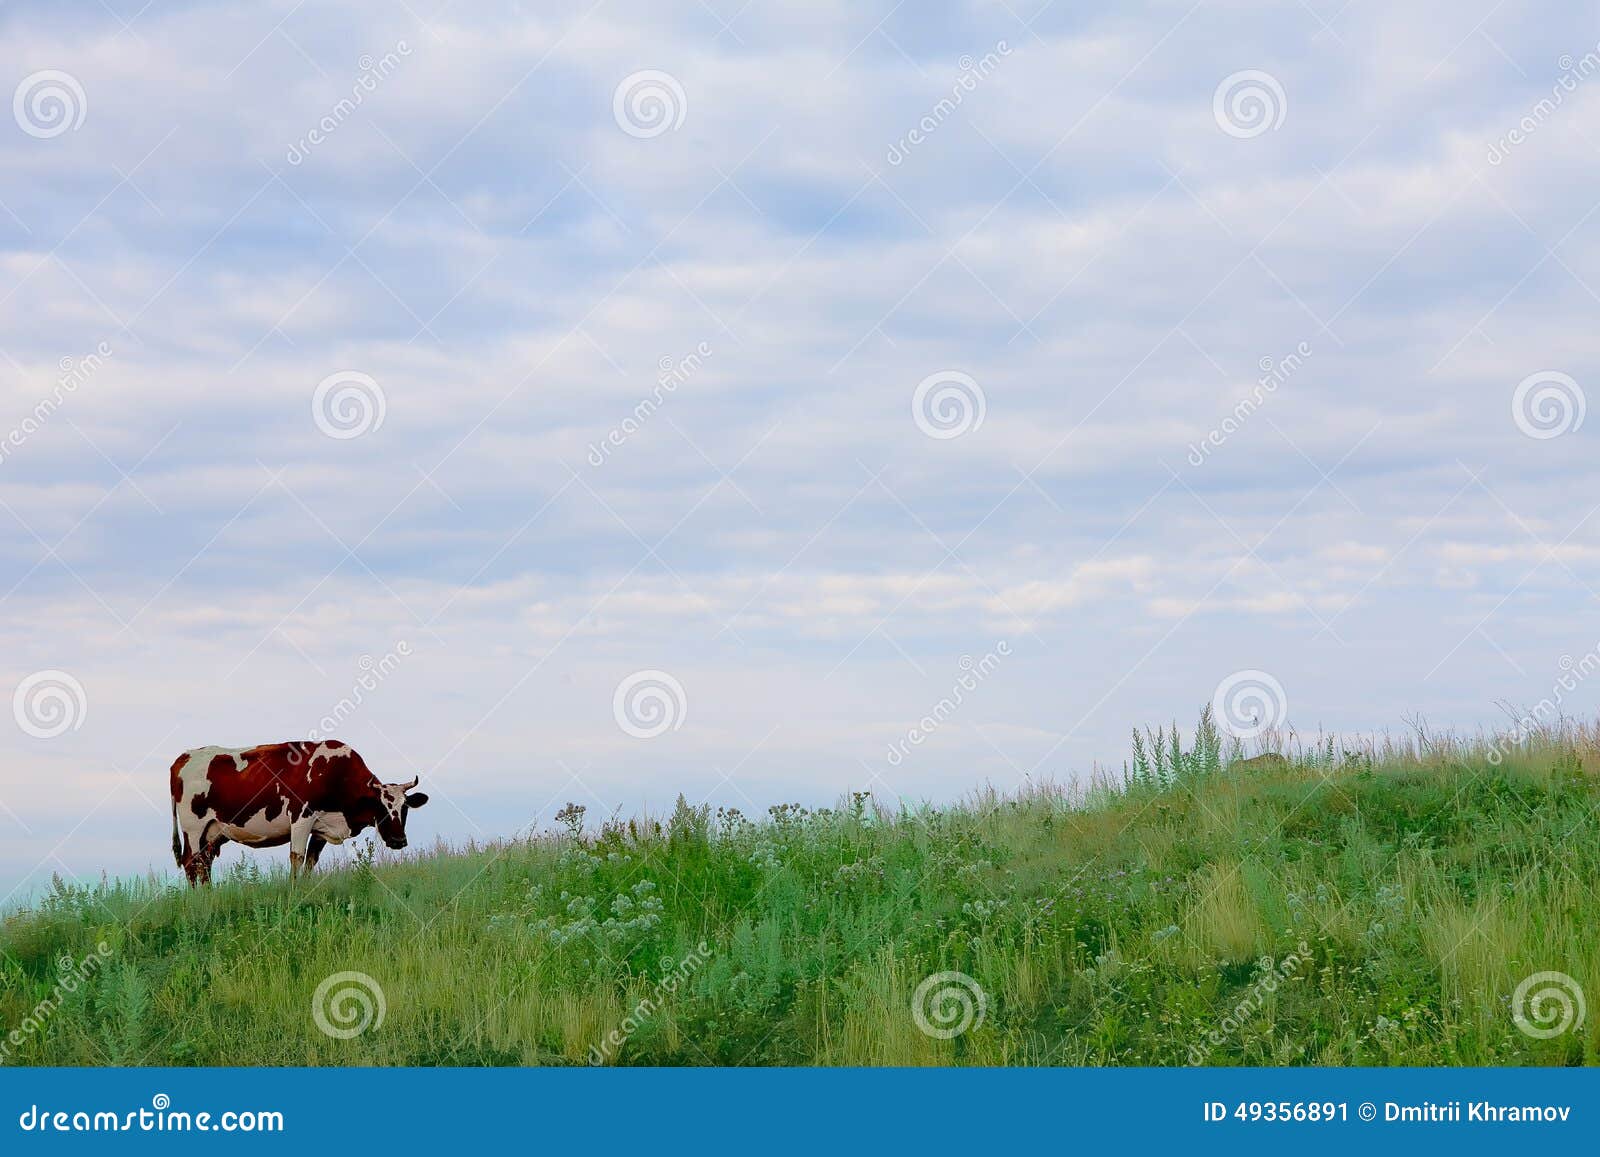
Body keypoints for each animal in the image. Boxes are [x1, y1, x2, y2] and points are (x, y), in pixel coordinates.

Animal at [169, 740, 429, 886]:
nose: (398, 840)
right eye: (380, 807)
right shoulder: (301, 818)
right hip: (193, 828)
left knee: (205, 864)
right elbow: (297, 858)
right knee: (192, 862)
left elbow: (311, 861)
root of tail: (184, 756)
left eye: (404, 808)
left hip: (212, 832)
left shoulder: (321, 829)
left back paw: (208, 895)